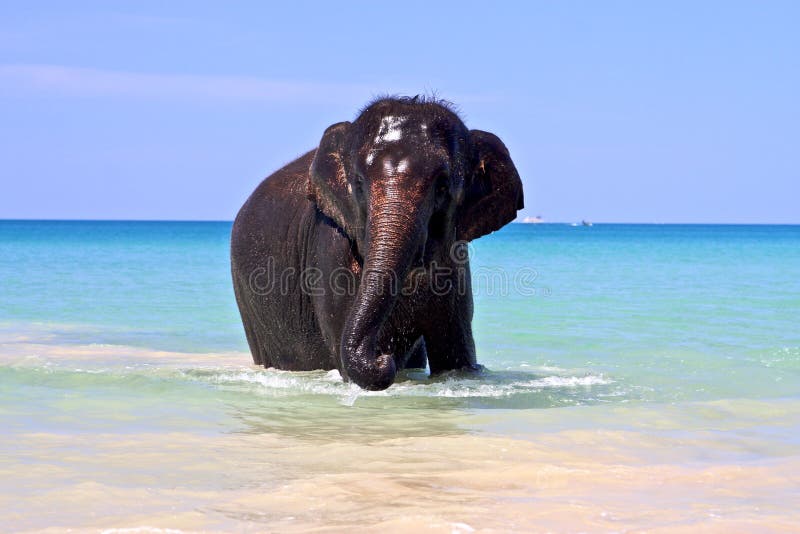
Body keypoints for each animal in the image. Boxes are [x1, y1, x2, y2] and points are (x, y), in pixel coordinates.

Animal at [231, 96, 523, 390]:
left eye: (442, 187)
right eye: (359, 183)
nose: (384, 358)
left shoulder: (456, 262)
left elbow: (457, 354)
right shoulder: (331, 247)